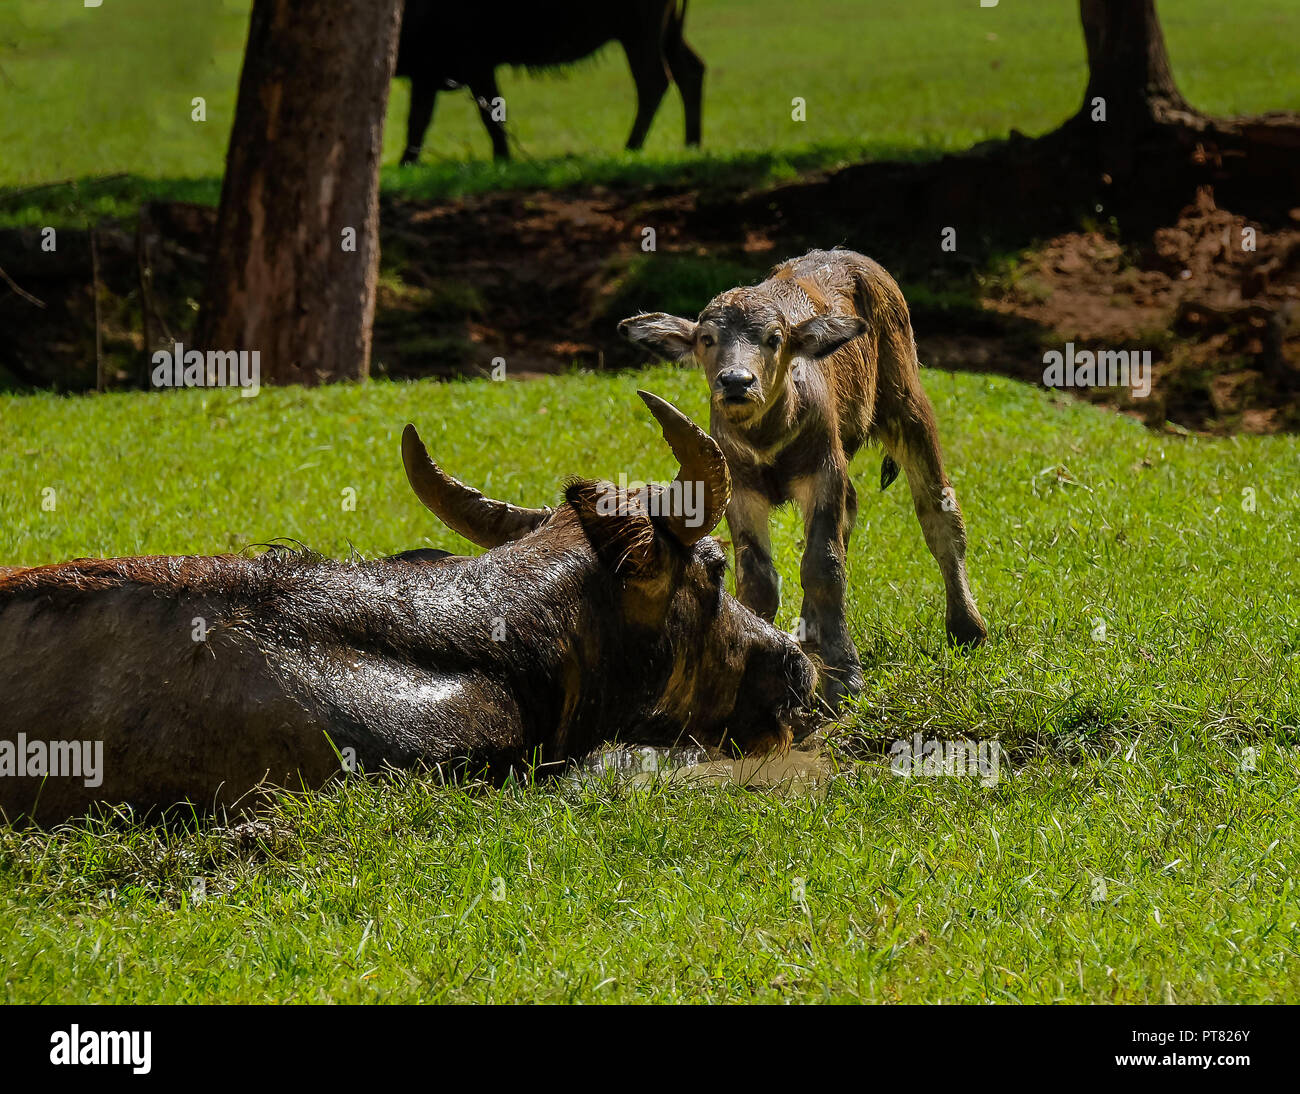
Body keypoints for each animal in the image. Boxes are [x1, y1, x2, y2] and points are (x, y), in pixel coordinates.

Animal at [395, 0, 704, 163]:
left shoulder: (476, 65)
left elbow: (491, 116)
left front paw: (502, 157)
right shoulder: (427, 73)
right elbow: (418, 120)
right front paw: (406, 162)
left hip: (639, 33)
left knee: (654, 81)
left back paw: (631, 146)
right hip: (667, 32)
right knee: (691, 71)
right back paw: (692, 144)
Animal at [618, 249, 987, 709]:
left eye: (774, 338)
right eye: (707, 338)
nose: (736, 381)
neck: (767, 435)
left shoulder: (822, 474)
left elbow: (823, 565)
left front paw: (845, 677)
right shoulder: (741, 489)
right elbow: (757, 578)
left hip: (906, 401)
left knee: (939, 512)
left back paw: (967, 627)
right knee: (851, 515)